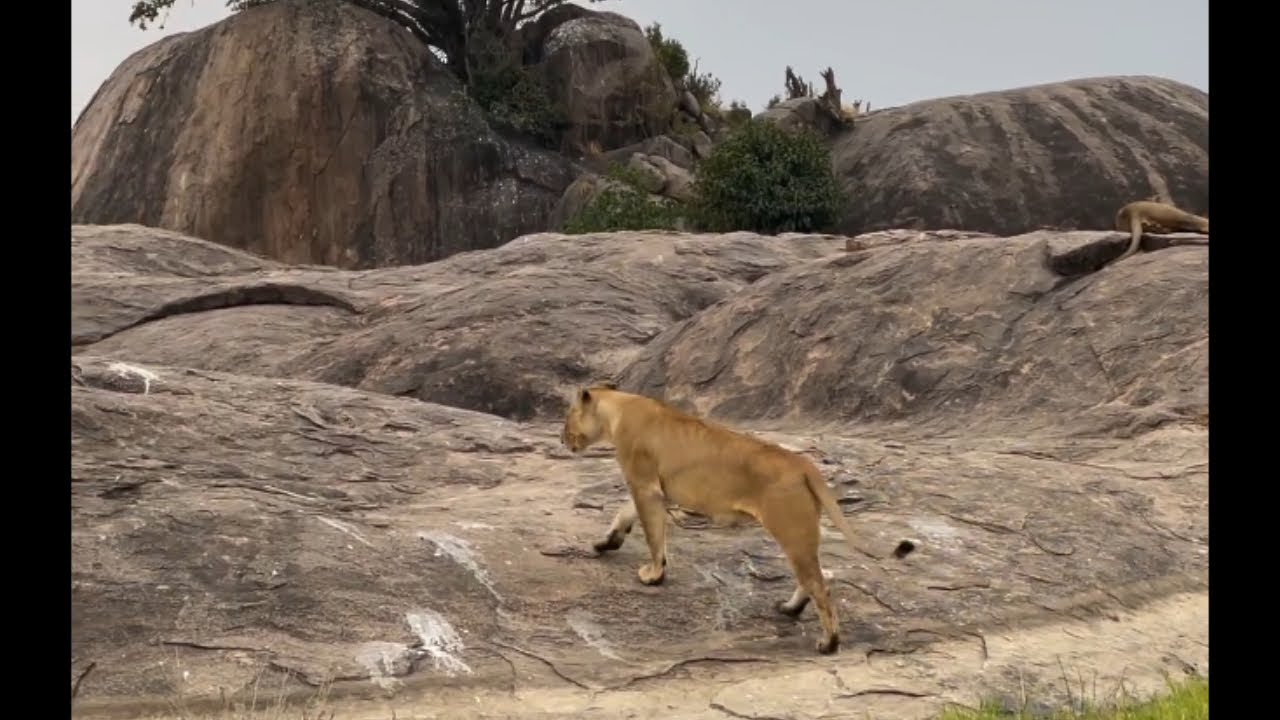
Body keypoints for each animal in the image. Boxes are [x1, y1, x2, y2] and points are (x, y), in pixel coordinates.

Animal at [560, 383, 918, 654]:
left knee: (819, 584)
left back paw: (828, 643)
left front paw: (653, 574)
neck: (618, 409)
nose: (561, 439)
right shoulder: (653, 488)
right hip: (801, 533)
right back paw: (789, 609)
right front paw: (605, 543)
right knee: (817, 576)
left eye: (566, 418)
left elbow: (651, 532)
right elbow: (624, 513)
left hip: (790, 529)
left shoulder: (645, 484)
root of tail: (804, 464)